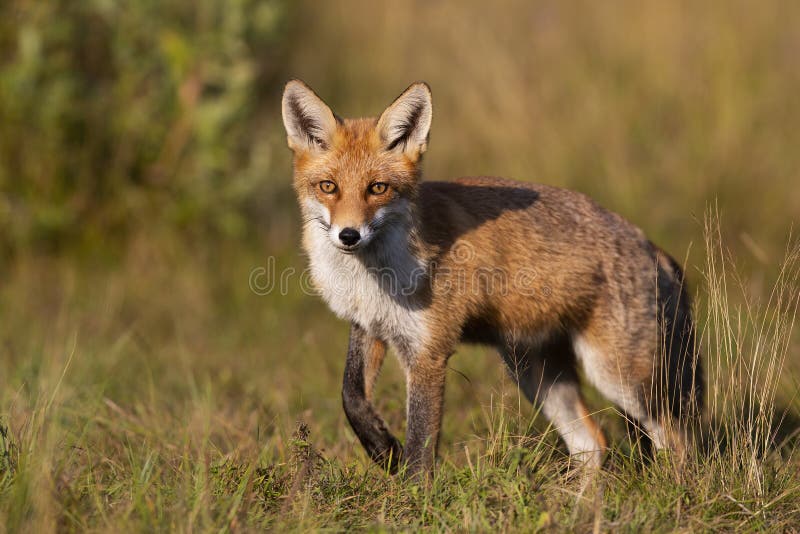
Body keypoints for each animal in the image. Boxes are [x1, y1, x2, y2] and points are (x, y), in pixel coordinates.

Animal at [281, 79, 703, 479]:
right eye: (329, 187)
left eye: (378, 188)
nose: (349, 235)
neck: (372, 278)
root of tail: (651, 245)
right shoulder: (369, 326)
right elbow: (351, 396)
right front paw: (384, 450)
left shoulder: (429, 351)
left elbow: (420, 447)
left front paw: (414, 494)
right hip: (536, 373)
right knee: (592, 443)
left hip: (618, 377)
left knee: (679, 440)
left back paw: (676, 492)